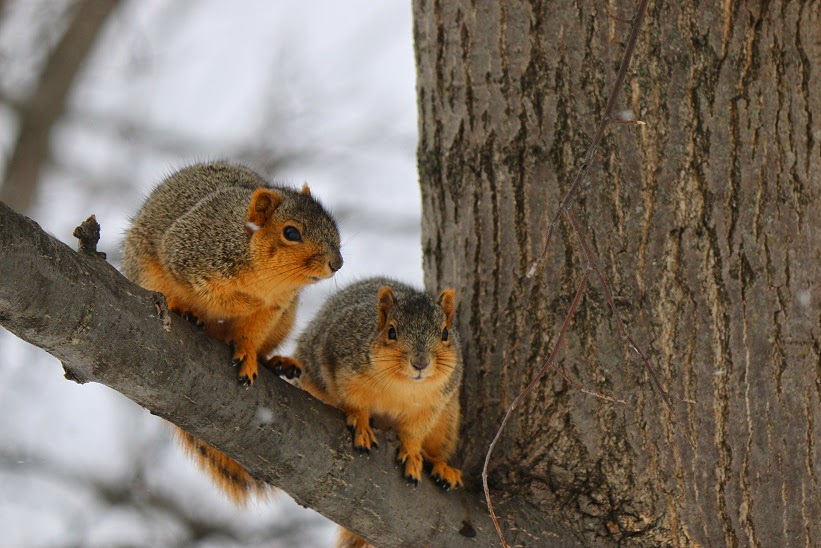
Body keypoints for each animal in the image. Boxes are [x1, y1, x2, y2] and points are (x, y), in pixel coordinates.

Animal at [122, 161, 342, 504]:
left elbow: (251, 331)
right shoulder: (189, 252)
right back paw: (185, 312)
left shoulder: (277, 308)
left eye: (333, 226)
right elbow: (212, 294)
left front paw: (248, 353)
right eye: (291, 232)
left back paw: (274, 363)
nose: (338, 263)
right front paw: (235, 302)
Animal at [269, 277, 463, 548]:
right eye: (391, 332)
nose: (420, 363)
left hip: (447, 423)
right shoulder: (341, 361)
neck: (403, 387)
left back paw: (440, 466)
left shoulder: (434, 404)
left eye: (445, 333)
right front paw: (361, 425)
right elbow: (354, 402)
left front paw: (412, 452)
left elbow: (414, 432)